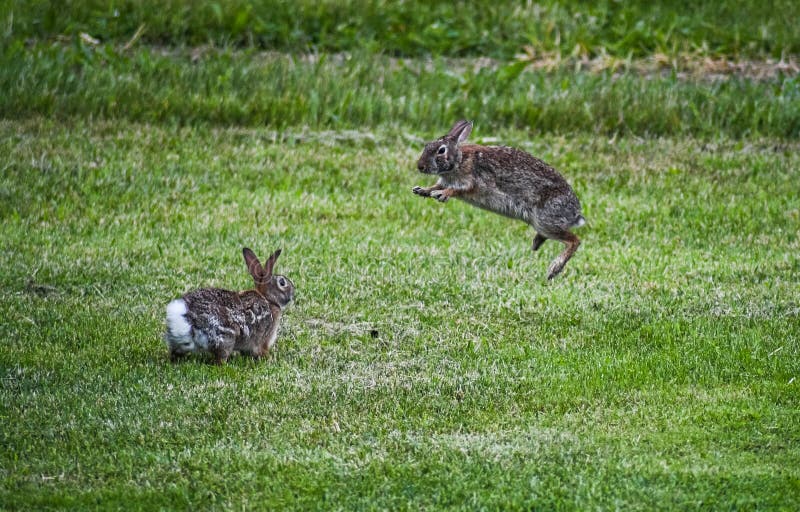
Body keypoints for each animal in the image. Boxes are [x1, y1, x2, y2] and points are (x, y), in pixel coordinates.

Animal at [164, 247, 295, 364]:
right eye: (282, 282)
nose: (294, 292)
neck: (268, 300)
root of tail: (187, 318)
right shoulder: (264, 340)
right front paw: (269, 358)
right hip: (226, 338)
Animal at [413, 120, 585, 279]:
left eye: (441, 150)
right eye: (427, 145)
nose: (420, 166)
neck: (459, 160)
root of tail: (575, 213)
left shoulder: (472, 182)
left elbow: (456, 189)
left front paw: (441, 195)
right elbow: (436, 185)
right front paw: (421, 190)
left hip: (545, 220)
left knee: (574, 240)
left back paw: (554, 269)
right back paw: (536, 244)